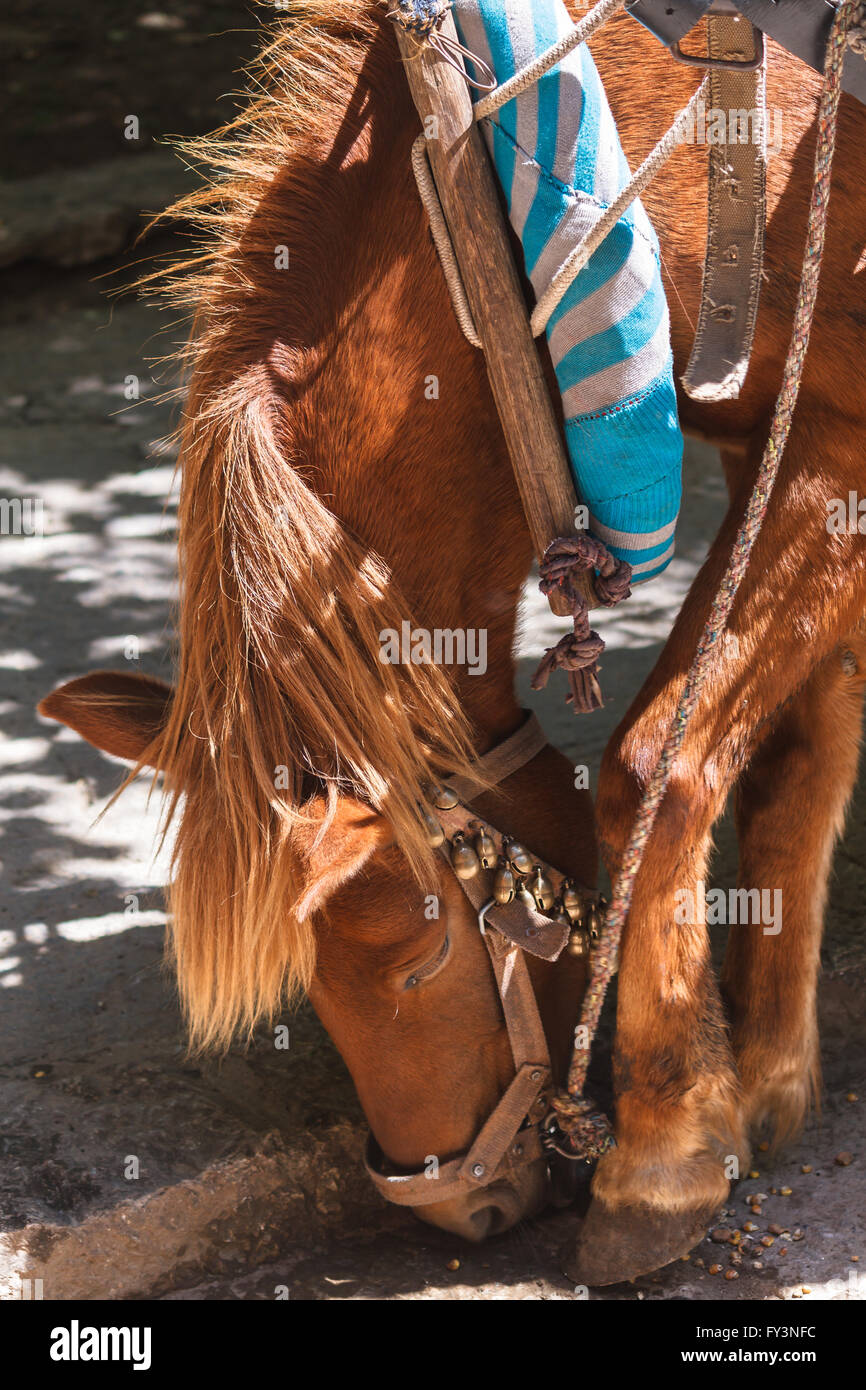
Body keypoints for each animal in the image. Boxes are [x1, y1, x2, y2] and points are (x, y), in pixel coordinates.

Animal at [38, 1, 866, 1285]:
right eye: (313, 978)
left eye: (407, 955)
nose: (453, 1215)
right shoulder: (773, 441)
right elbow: (797, 755)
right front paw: (767, 1073)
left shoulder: (839, 438)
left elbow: (654, 764)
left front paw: (666, 1151)